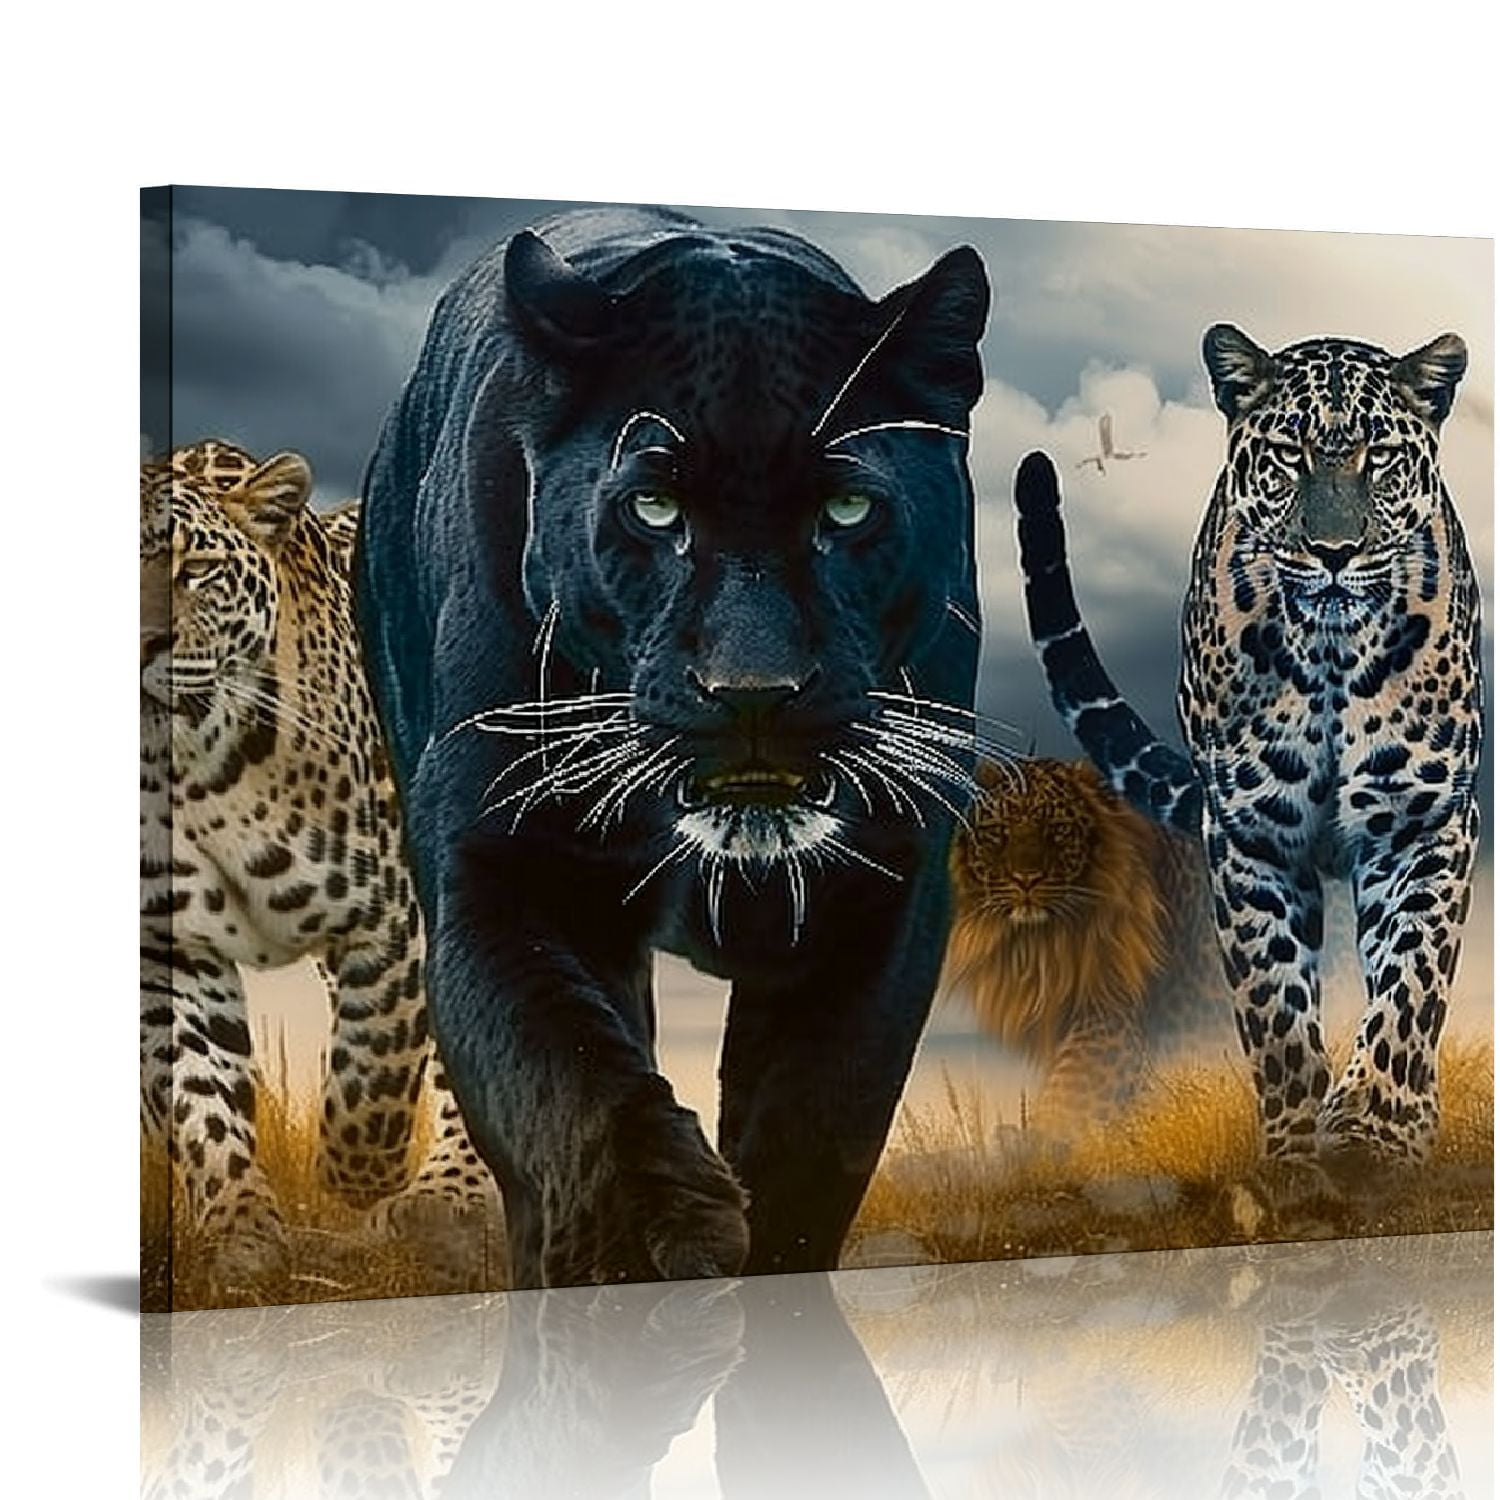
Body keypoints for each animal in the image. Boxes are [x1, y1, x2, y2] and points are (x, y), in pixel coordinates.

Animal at [140, 439, 491, 1296]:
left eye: (195, 569)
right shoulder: (175, 951)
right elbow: (201, 1092)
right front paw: (241, 1233)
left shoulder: (394, 916)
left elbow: (379, 1063)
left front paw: (358, 1175)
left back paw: (446, 1199)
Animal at [944, 756, 1231, 1129]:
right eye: (998, 831)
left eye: (1058, 829)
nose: (1026, 879)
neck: (1040, 945)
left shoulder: (1111, 1015)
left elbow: (1071, 1102)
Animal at [1013, 325, 1482, 1175]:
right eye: (1289, 453)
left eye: (1380, 456)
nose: (1334, 551)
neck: (1332, 655)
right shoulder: (1250, 836)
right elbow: (1275, 1005)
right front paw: (1295, 1148)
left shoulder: (1422, 824)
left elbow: (1410, 983)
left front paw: (1373, 1129)